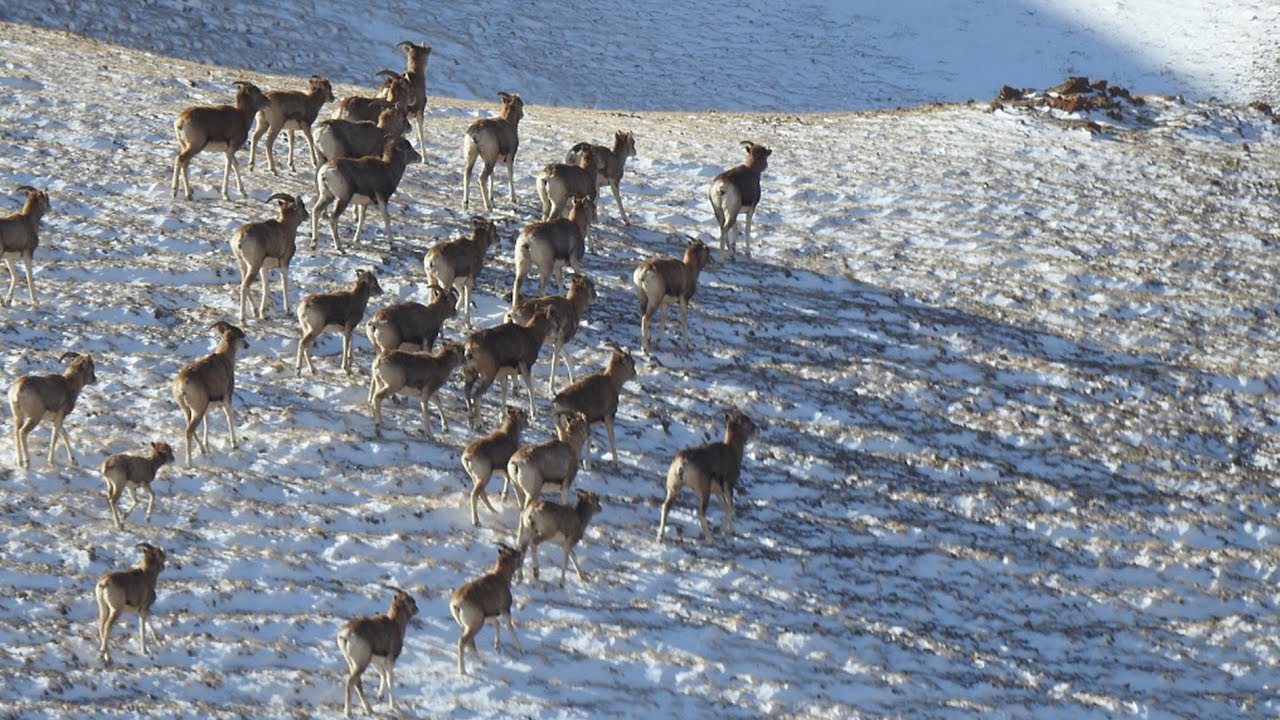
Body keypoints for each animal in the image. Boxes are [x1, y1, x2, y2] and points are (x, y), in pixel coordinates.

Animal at [173, 321, 249, 466]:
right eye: (241, 336)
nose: (247, 345)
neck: (225, 358)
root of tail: (182, 384)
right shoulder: (226, 399)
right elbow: (229, 418)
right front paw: (234, 444)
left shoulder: (207, 408)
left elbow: (207, 423)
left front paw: (206, 444)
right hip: (197, 410)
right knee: (189, 431)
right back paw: (189, 462)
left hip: (187, 409)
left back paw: (202, 450)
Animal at [230, 192, 308, 323]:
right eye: (302, 205)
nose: (307, 215)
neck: (286, 229)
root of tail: (240, 238)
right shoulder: (284, 264)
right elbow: (284, 284)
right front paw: (288, 311)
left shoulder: (264, 269)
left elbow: (265, 287)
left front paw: (263, 313)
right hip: (254, 267)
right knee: (244, 286)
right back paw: (243, 318)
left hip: (243, 265)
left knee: (244, 285)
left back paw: (255, 311)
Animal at [337, 587, 418, 718]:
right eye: (411, 601)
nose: (417, 609)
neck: (395, 624)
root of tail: (346, 634)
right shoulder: (390, 661)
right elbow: (389, 680)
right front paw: (393, 706)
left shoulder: (376, 662)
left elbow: (383, 675)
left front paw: (380, 697)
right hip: (361, 665)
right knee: (350, 683)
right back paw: (348, 713)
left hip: (352, 663)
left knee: (358, 685)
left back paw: (369, 710)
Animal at [449, 543, 524, 675]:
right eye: (515, 554)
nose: (521, 555)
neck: (500, 577)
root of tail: (456, 604)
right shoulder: (505, 610)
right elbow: (510, 628)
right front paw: (520, 649)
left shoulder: (489, 616)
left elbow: (497, 624)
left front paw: (497, 647)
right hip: (475, 625)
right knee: (463, 642)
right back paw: (463, 671)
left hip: (467, 625)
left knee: (470, 643)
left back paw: (482, 663)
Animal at [656, 409, 760, 542]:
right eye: (746, 420)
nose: (755, 428)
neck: (732, 451)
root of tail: (682, 462)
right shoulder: (728, 487)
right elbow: (731, 509)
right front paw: (721, 529)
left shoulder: (717, 491)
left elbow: (726, 508)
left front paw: (732, 530)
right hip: (704, 492)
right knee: (700, 513)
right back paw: (711, 540)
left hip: (674, 488)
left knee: (665, 507)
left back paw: (660, 537)